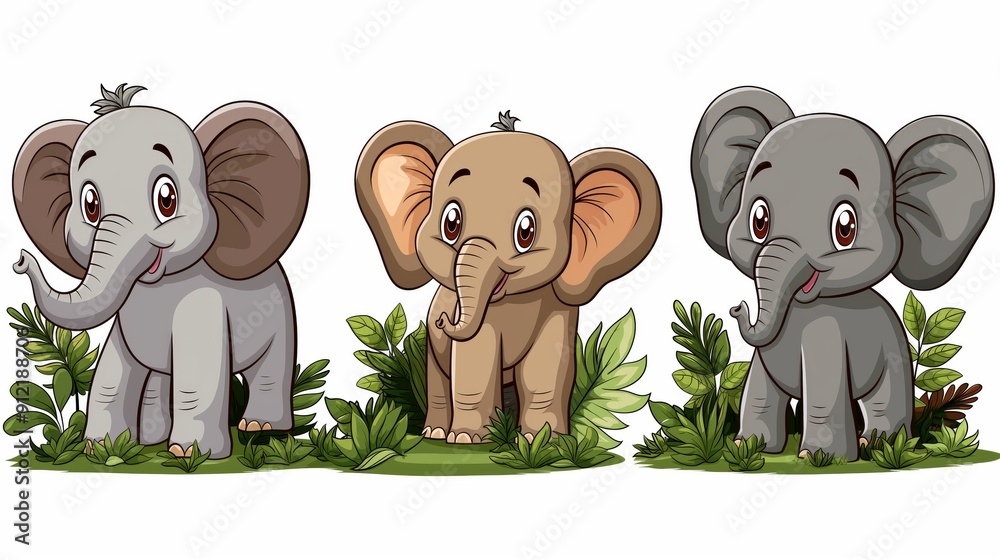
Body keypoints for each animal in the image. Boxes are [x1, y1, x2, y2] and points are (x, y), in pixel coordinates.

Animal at [12, 84, 309, 459]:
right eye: (90, 205)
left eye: (166, 199)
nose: (20, 260)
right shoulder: (125, 316)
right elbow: (112, 370)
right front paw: (100, 449)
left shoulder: (206, 304)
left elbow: (196, 372)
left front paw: (191, 453)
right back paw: (150, 441)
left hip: (282, 316)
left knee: (269, 368)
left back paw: (260, 428)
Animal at [356, 113, 661, 443]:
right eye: (451, 223)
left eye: (525, 231)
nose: (443, 320)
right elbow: (475, 360)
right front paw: (467, 440)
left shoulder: (558, 308)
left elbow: (545, 368)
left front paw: (542, 439)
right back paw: (435, 434)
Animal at [692, 86, 993, 461]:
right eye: (759, 220)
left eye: (845, 228)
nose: (736, 308)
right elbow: (760, 387)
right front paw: (748, 447)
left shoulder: (829, 336)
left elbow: (823, 387)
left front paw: (819, 457)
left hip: (894, 355)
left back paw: (880, 443)